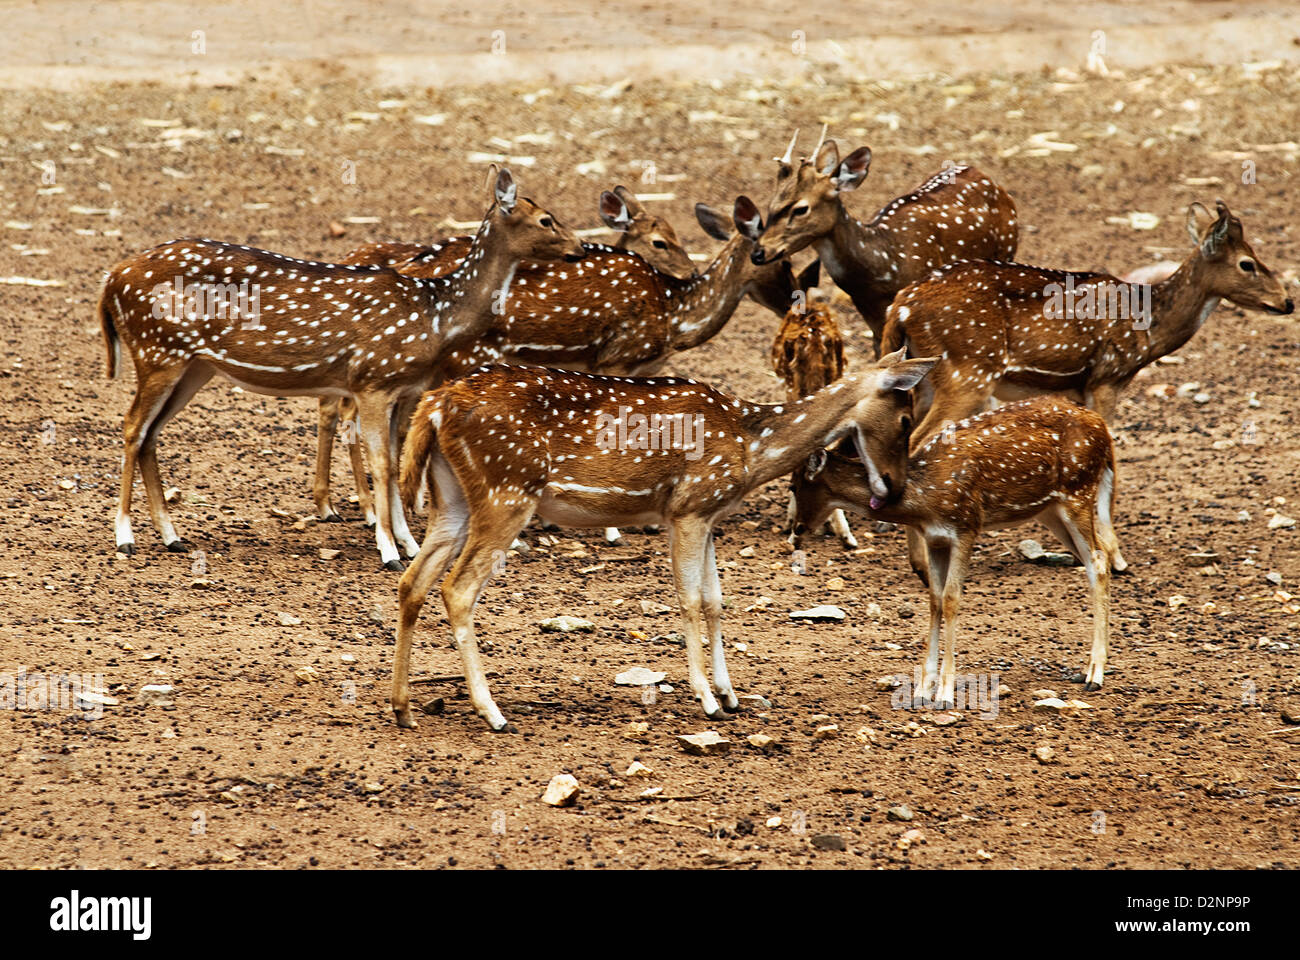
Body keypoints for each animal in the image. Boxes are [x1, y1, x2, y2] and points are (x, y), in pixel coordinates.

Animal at [99, 166, 584, 570]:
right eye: (546, 219)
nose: (580, 247)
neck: (437, 316)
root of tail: (112, 279)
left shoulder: (403, 389)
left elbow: (394, 463)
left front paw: (408, 544)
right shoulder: (372, 380)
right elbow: (382, 465)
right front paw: (389, 551)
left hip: (193, 365)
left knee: (151, 433)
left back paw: (171, 536)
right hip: (157, 350)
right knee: (131, 426)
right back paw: (126, 537)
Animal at [389, 350, 938, 731]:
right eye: (906, 418)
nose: (894, 488)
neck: (751, 446)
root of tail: (435, 405)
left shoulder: (709, 514)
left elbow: (716, 601)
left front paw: (731, 695)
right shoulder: (688, 505)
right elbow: (690, 600)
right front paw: (708, 701)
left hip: (452, 497)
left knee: (412, 581)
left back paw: (403, 708)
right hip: (507, 489)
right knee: (457, 588)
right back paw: (493, 713)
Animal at [740, 128, 1019, 354]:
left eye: (800, 209)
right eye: (771, 205)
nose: (758, 252)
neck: (884, 265)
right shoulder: (873, 319)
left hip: (1005, 252)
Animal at [793, 396, 1121, 708]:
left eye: (795, 485)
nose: (797, 530)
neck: (924, 502)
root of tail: (1104, 429)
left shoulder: (966, 526)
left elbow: (951, 599)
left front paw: (945, 693)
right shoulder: (934, 539)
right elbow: (935, 600)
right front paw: (922, 691)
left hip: (1078, 490)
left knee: (1098, 560)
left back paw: (1095, 674)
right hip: (1050, 511)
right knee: (1094, 558)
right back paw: (1088, 669)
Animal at [881, 199, 1295, 450]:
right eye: (1247, 263)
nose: (1287, 301)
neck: (1149, 329)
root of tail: (901, 306)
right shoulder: (1106, 378)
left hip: (928, 377)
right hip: (969, 370)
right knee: (918, 439)